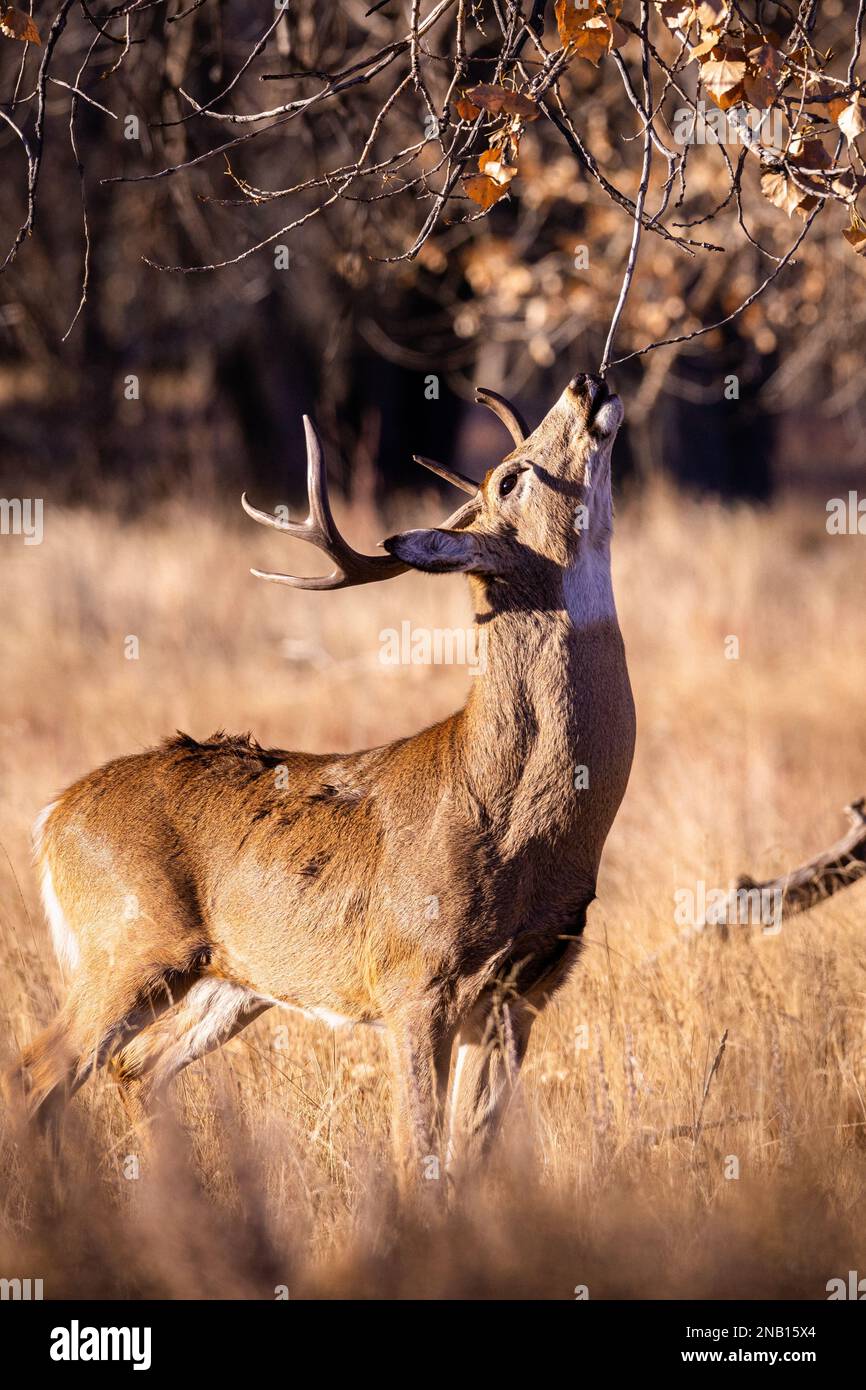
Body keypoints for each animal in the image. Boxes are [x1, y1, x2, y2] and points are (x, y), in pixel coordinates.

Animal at [3, 372, 635, 1182]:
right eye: (510, 477)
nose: (587, 381)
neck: (515, 826)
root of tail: (52, 814)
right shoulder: (412, 982)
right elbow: (418, 1159)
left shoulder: (522, 995)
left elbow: (471, 1160)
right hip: (126, 946)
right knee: (37, 1071)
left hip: (231, 980)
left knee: (134, 1067)